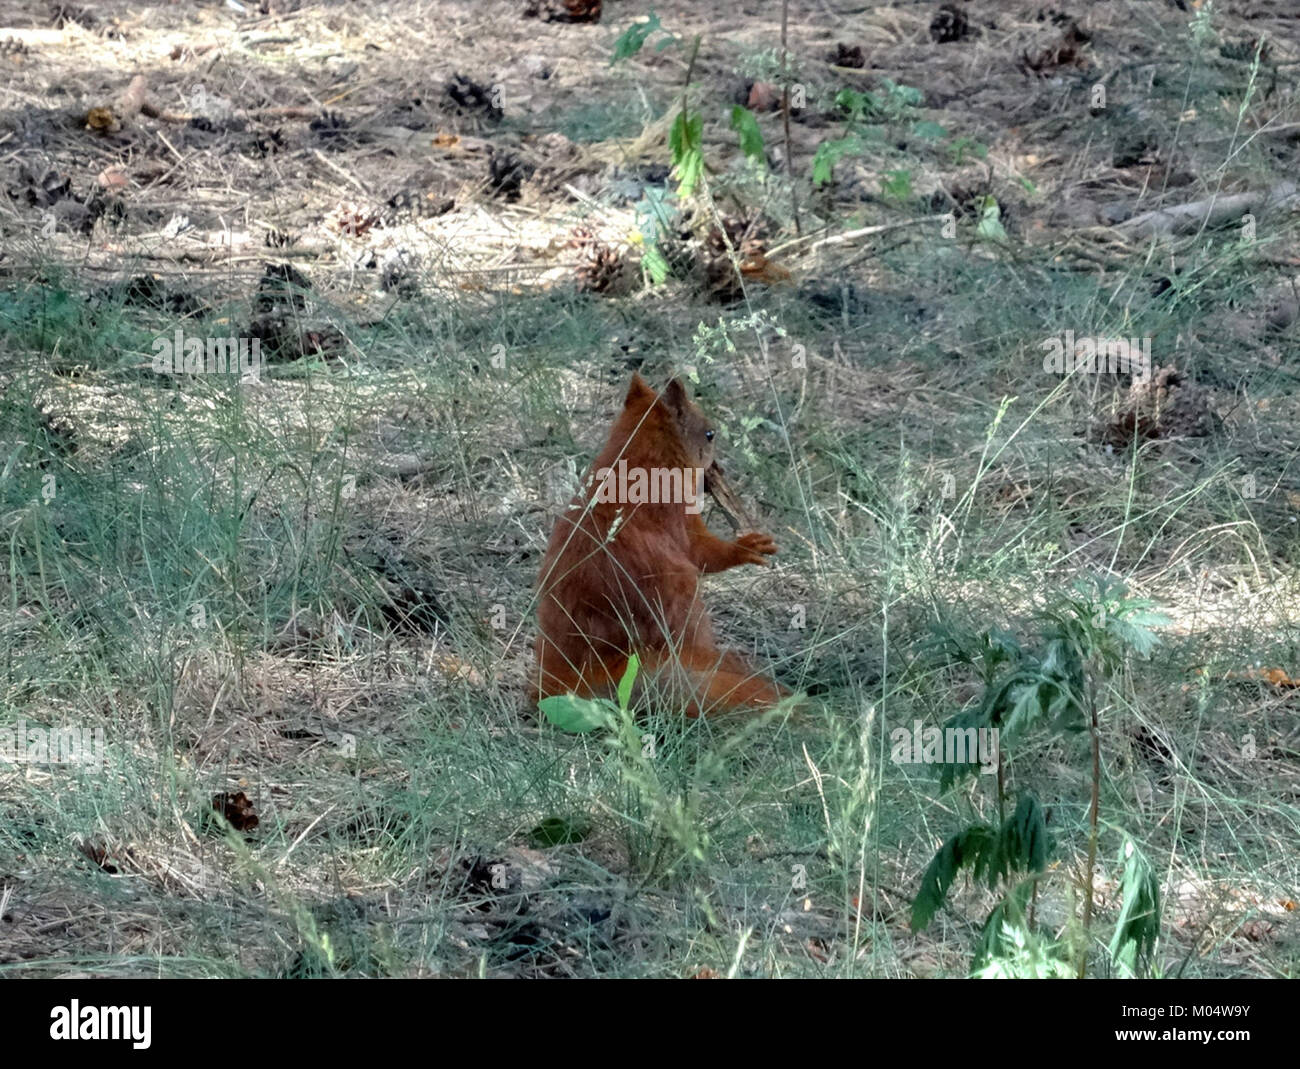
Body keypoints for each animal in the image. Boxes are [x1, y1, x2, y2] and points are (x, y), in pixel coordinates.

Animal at [534, 374, 790, 716]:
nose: (719, 470)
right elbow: (704, 553)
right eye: (709, 434)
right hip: (684, 604)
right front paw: (747, 547)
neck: (635, 459)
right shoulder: (679, 514)